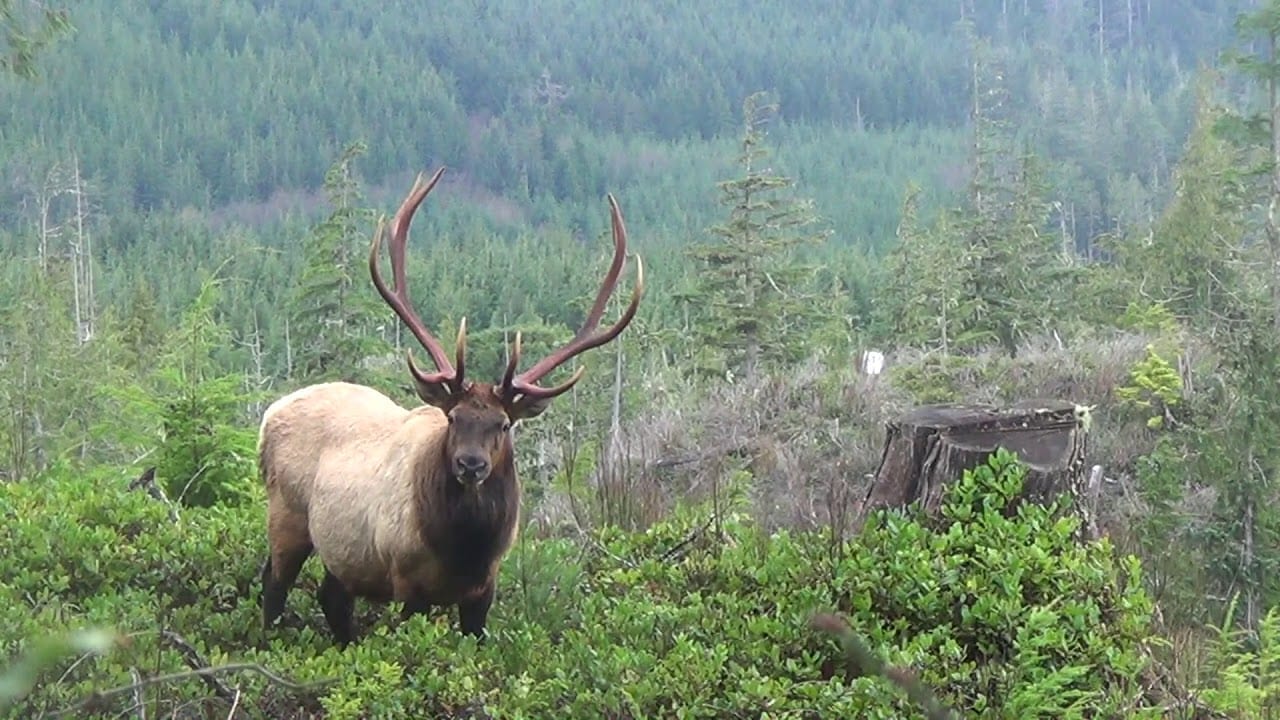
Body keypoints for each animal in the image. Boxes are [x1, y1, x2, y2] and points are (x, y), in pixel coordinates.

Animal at [256, 167, 643, 644]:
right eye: (453, 417)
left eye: (504, 424)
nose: (470, 464)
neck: (463, 552)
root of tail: (269, 415)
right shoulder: (405, 581)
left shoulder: (484, 590)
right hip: (287, 513)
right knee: (273, 584)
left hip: (344, 554)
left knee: (331, 596)